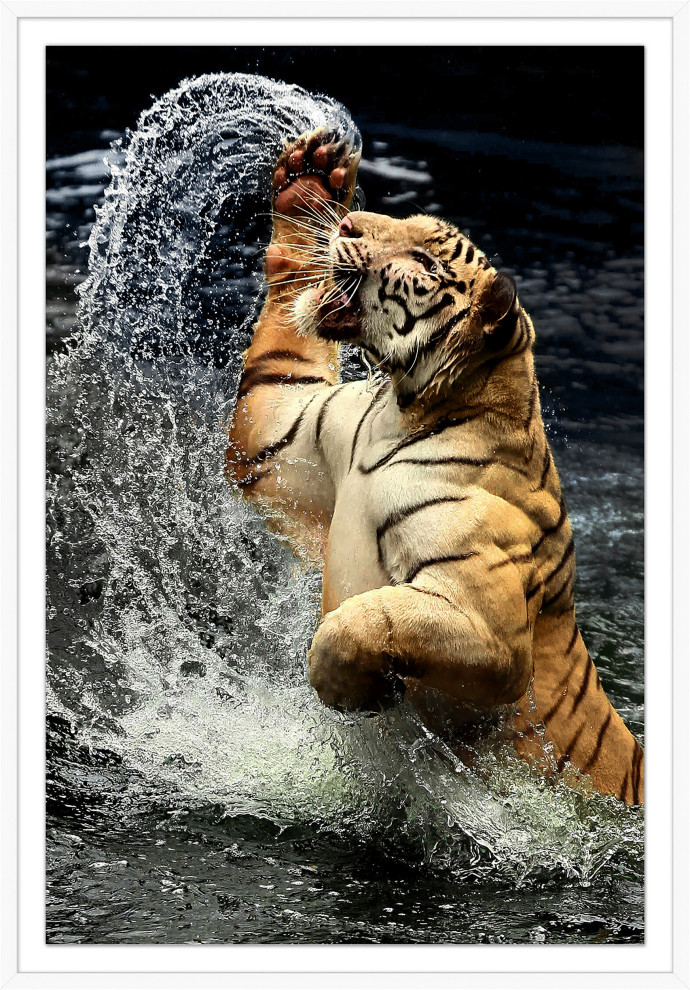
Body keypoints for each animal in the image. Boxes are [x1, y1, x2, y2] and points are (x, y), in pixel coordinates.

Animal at [226, 126, 644, 806]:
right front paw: (311, 177)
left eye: (423, 259)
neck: (405, 412)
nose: (349, 223)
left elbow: (361, 624)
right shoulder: (286, 432)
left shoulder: (488, 624)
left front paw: (354, 691)